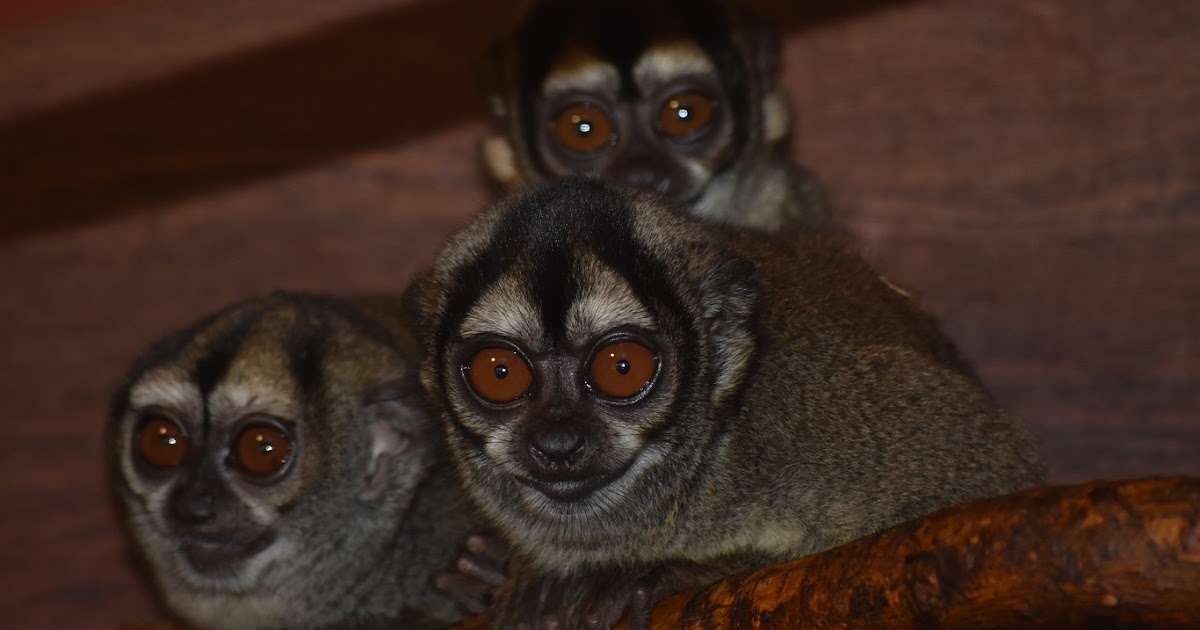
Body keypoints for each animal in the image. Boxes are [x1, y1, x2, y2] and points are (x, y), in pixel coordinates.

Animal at [403, 177, 1046, 629]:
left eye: (620, 368)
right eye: (501, 373)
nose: (558, 441)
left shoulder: (821, 409)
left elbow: (984, 498)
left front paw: (673, 573)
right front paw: (496, 574)